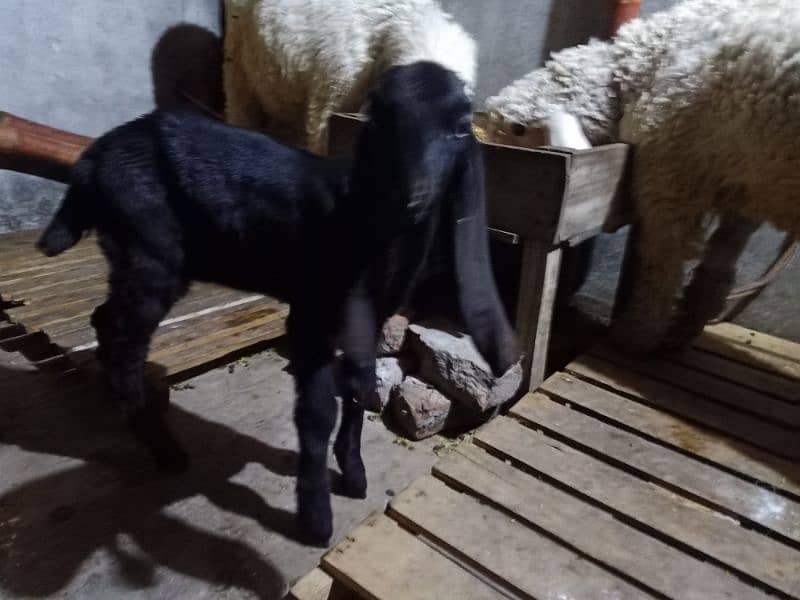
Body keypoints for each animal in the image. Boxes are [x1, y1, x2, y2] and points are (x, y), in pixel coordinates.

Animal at [38, 62, 518, 545]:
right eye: (380, 119)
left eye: (459, 127)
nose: (410, 197)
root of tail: (94, 158)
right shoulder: (309, 314)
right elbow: (319, 410)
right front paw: (315, 517)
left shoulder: (372, 316)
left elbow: (359, 387)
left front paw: (354, 475)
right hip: (149, 254)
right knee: (126, 342)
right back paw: (165, 449)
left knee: (106, 319)